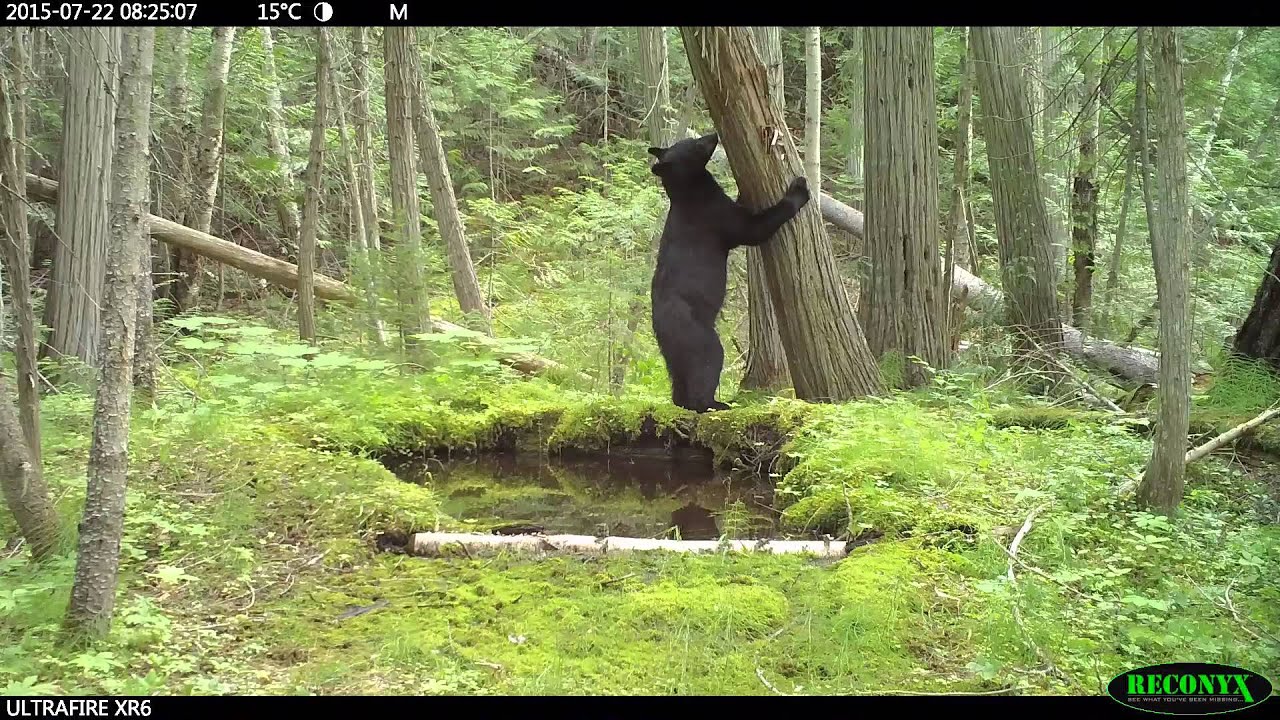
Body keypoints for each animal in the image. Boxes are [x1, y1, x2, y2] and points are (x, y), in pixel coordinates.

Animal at [646, 132, 811, 413]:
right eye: (695, 144)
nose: (713, 134)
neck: (687, 191)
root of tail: (659, 326)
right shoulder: (715, 216)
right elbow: (752, 229)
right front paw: (798, 190)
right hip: (696, 333)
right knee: (707, 362)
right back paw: (714, 403)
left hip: (672, 353)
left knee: (679, 377)